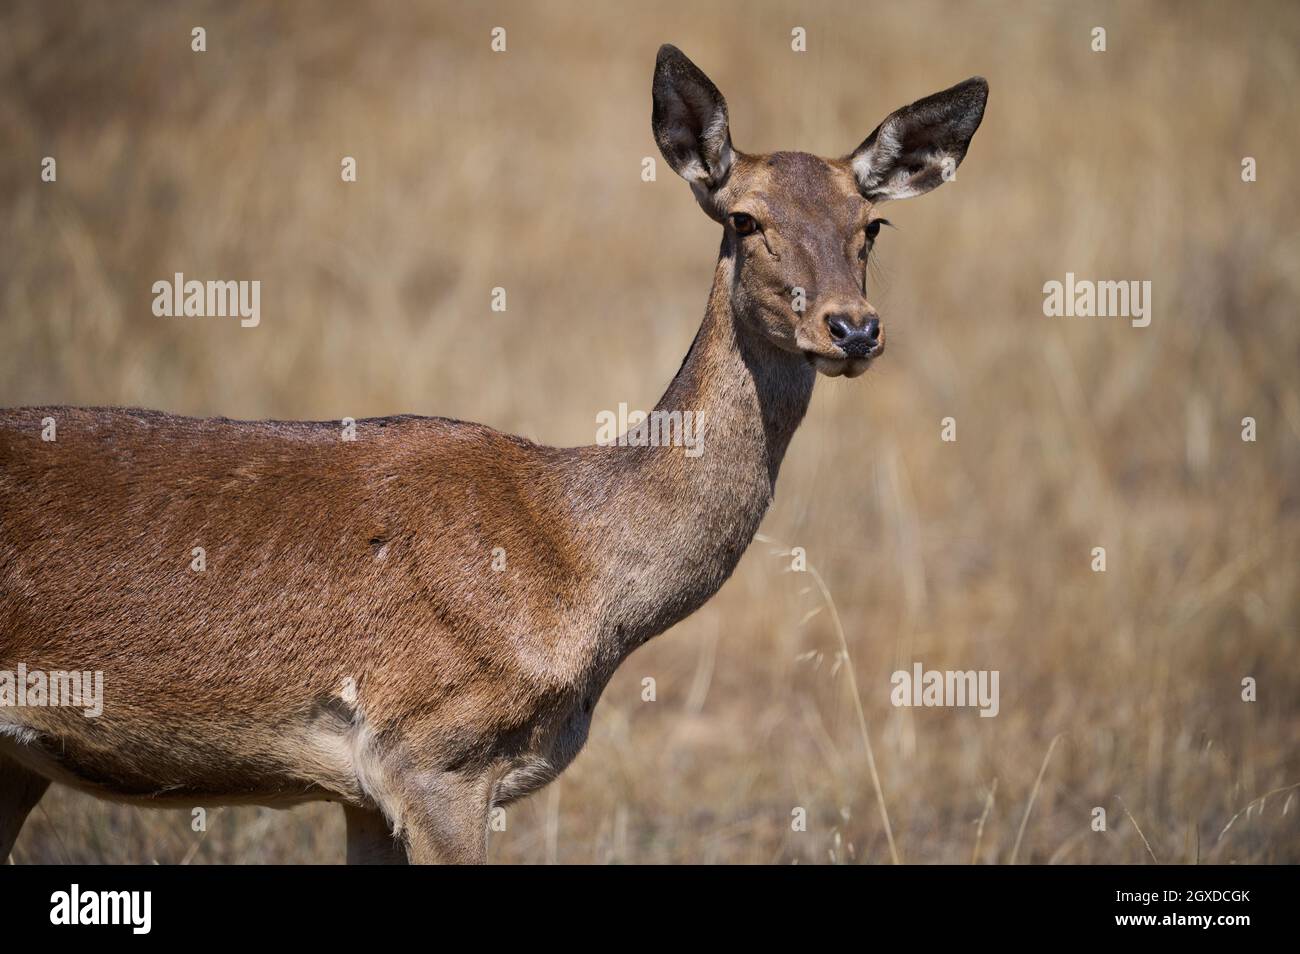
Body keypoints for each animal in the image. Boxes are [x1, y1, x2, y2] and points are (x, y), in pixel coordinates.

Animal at [0, 45, 986, 864]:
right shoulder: (435, 754)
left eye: (871, 225)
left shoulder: (363, 796)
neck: (578, 573)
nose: (853, 328)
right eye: (745, 219)